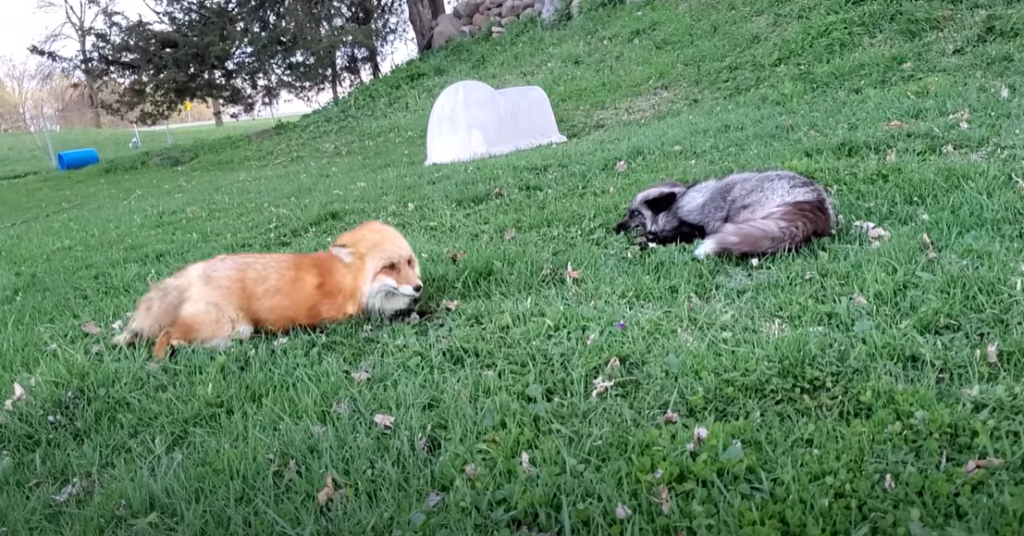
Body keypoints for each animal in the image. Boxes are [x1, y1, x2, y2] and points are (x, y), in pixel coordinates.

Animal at [110, 220, 423, 359]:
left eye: (409, 262)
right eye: (389, 267)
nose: (418, 287)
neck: (349, 280)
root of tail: (196, 269)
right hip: (233, 326)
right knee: (165, 334)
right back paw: (159, 361)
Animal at [613, 170, 836, 258]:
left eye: (634, 213)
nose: (614, 228)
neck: (677, 203)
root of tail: (818, 204)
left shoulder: (698, 228)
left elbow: (660, 237)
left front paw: (644, 242)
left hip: (735, 217)